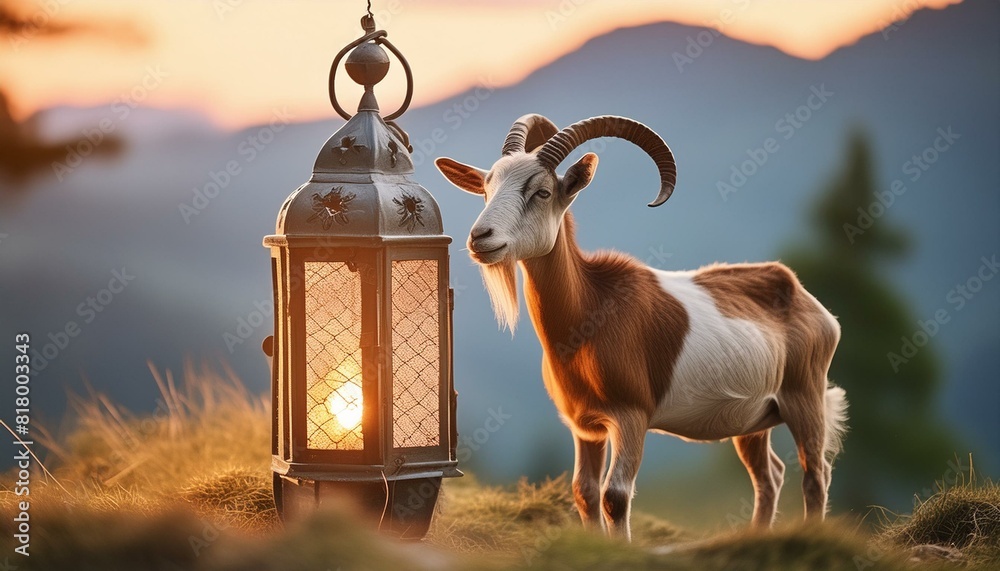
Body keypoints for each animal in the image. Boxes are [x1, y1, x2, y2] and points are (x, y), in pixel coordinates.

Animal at [435, 114, 847, 540]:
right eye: (486, 189)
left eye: (542, 192)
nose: (480, 237)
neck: (590, 314)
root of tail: (805, 299)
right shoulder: (585, 427)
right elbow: (584, 491)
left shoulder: (630, 417)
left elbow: (614, 496)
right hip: (753, 421)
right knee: (769, 477)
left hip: (804, 396)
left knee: (815, 474)